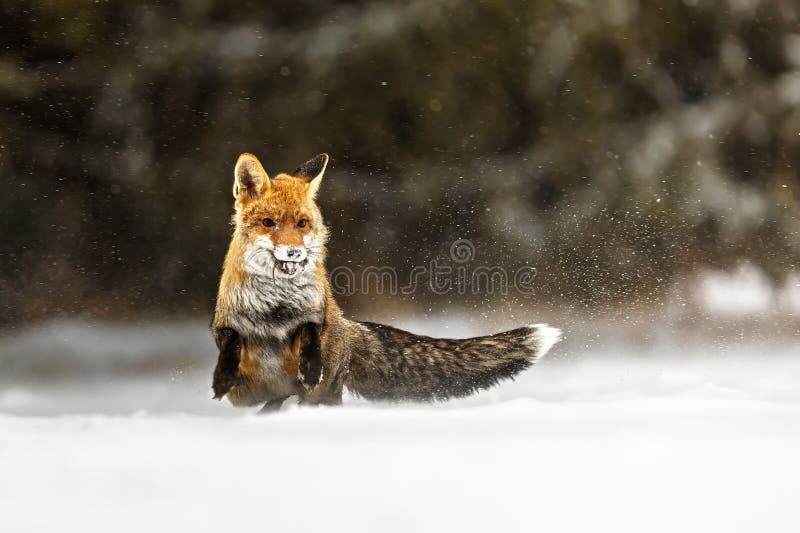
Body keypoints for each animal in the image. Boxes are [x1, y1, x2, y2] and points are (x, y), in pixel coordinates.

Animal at [211, 152, 561, 410]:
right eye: (268, 222)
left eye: (302, 223)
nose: (294, 252)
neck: (276, 308)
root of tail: (349, 327)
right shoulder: (224, 325)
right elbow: (231, 342)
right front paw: (222, 377)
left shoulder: (316, 319)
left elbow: (309, 331)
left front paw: (310, 367)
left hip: (325, 386)